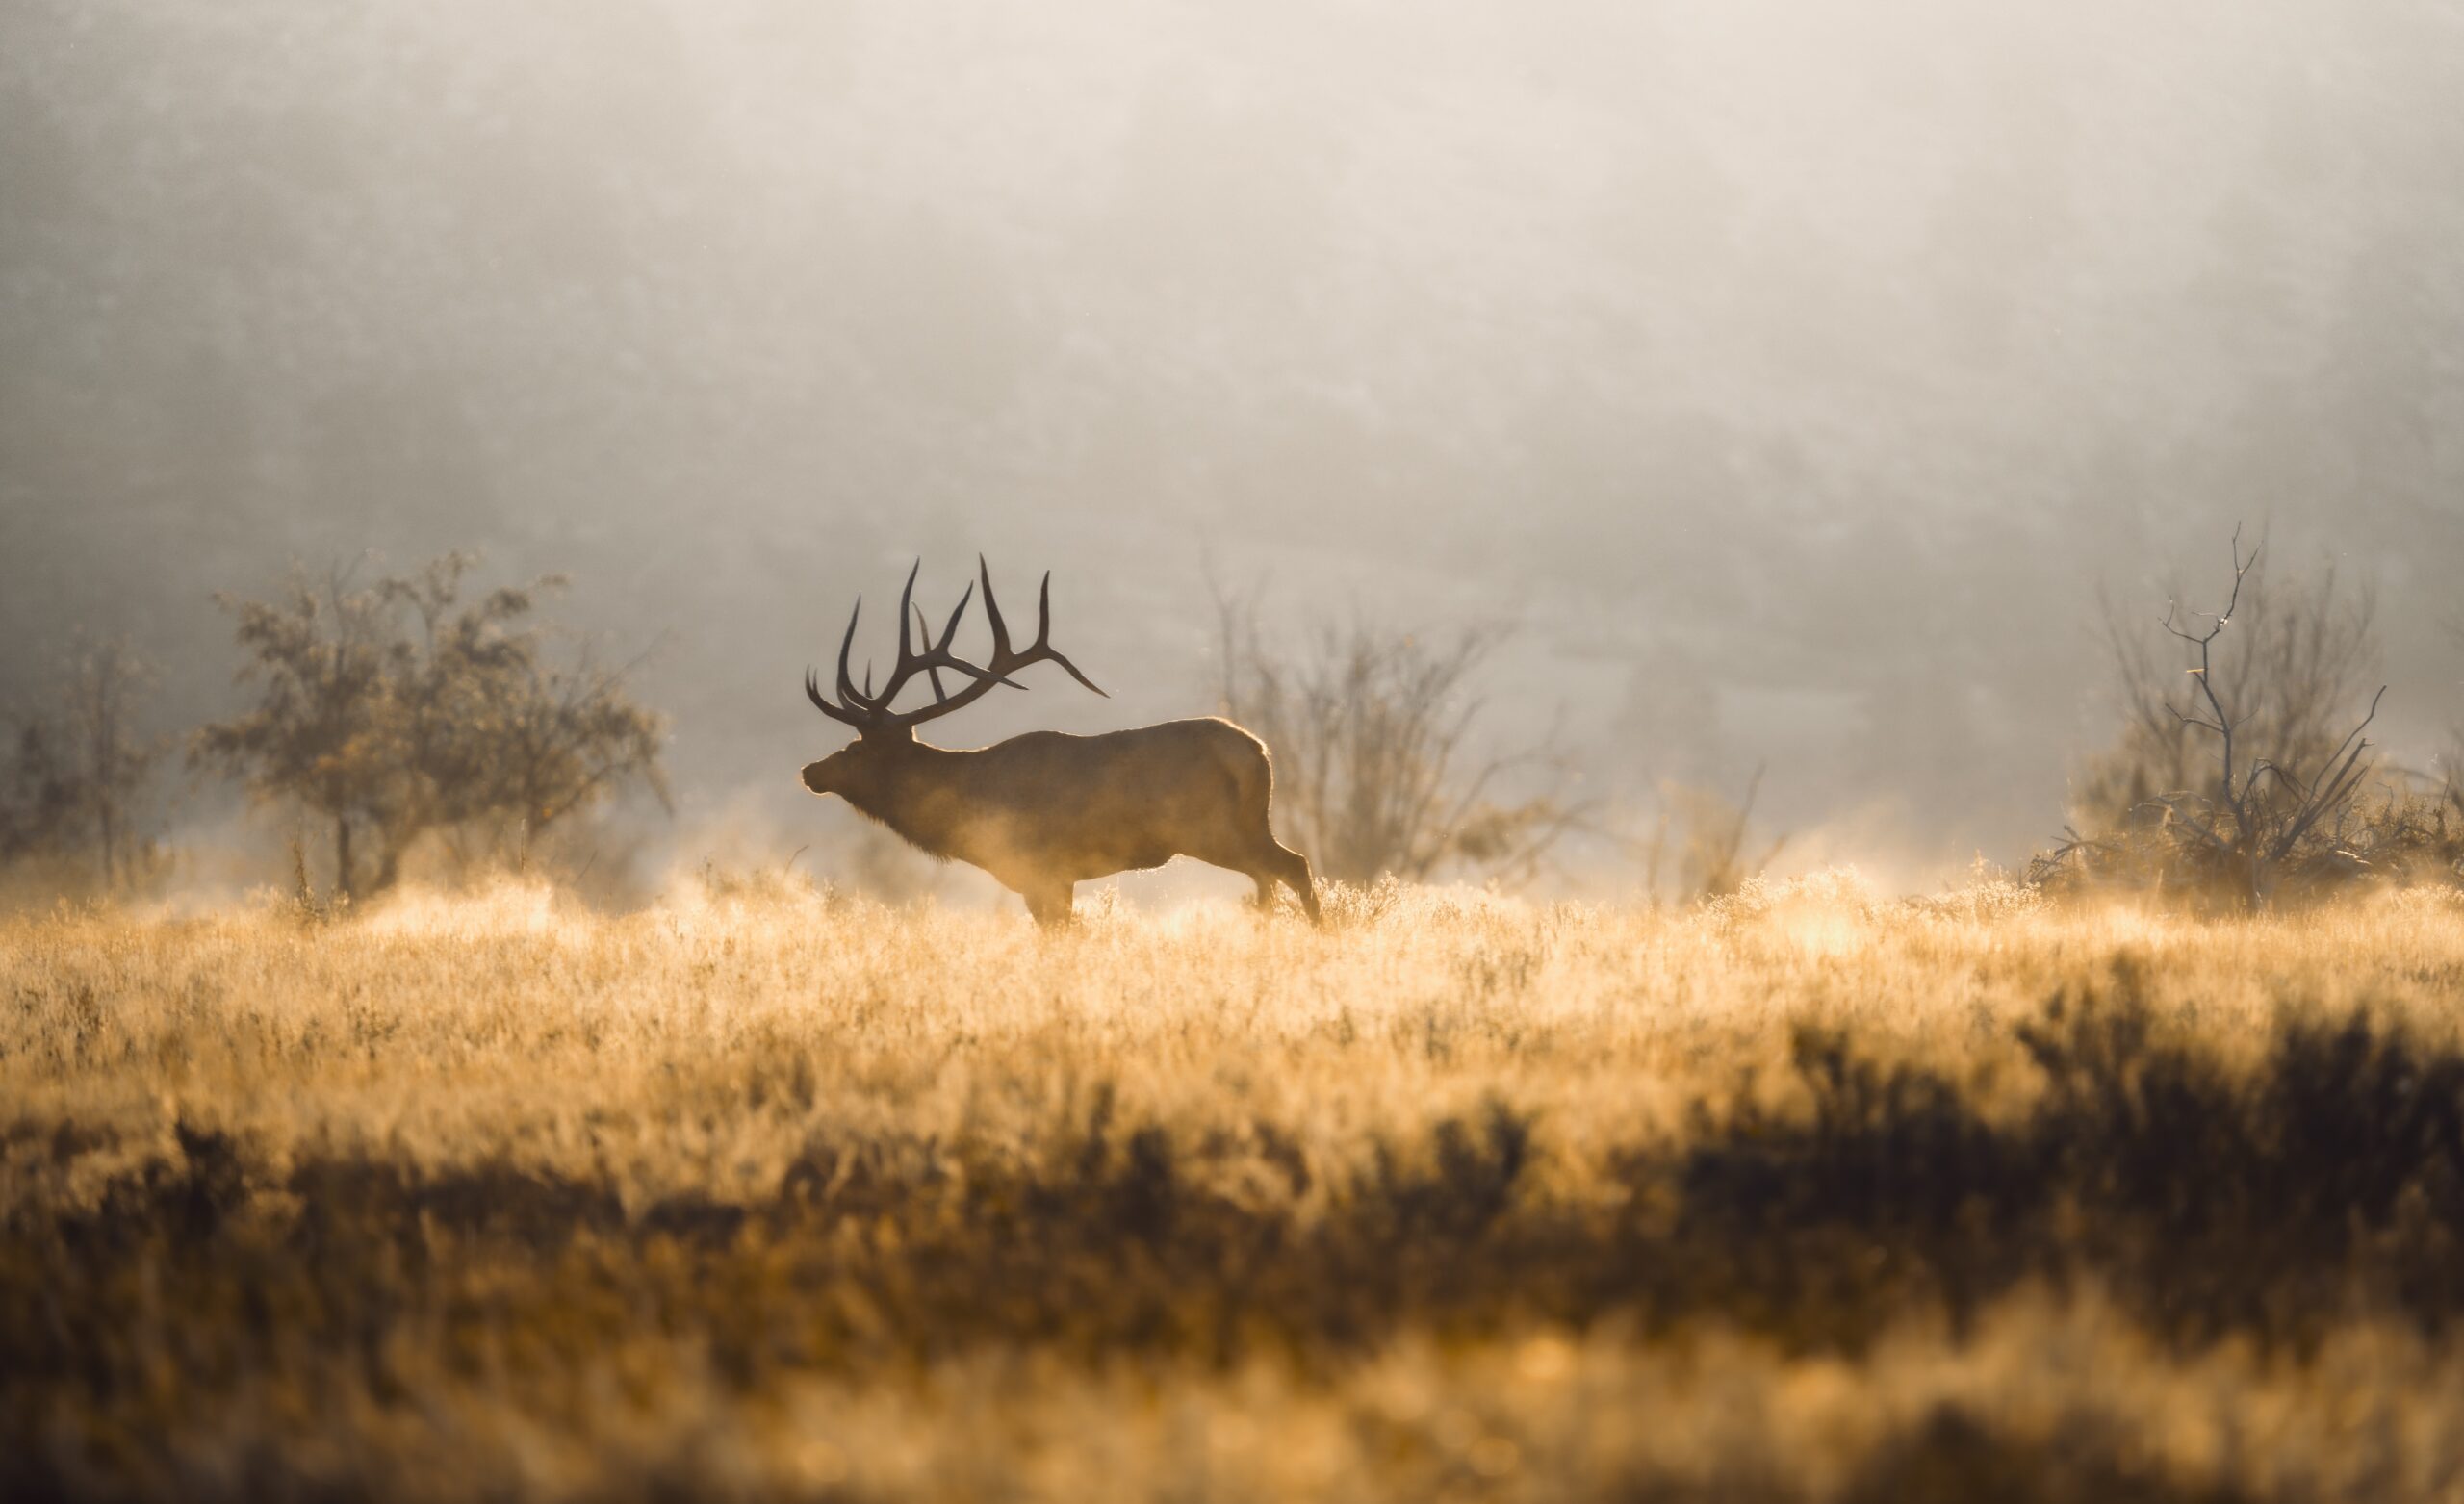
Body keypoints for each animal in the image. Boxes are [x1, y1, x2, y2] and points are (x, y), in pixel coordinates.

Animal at [800, 558, 1321, 926]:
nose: (809, 771)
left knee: (1287, 867)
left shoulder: (1042, 867)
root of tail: (1258, 752)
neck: (968, 806)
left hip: (1209, 828)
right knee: (1278, 872)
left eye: (857, 748)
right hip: (1252, 822)